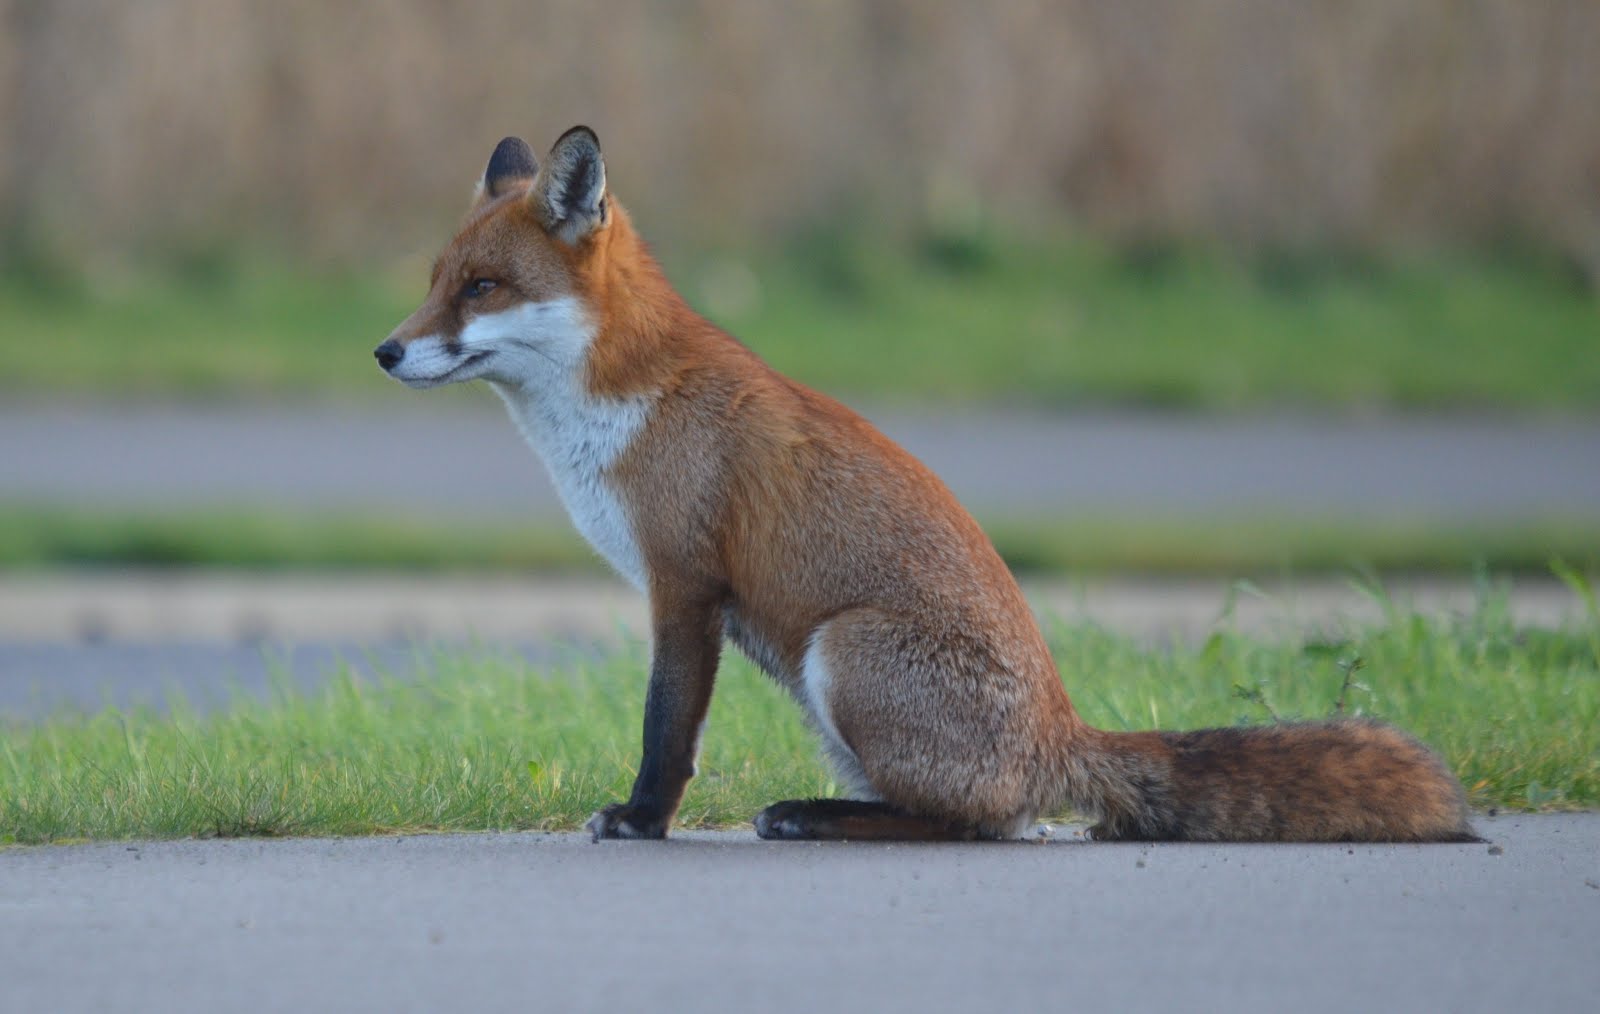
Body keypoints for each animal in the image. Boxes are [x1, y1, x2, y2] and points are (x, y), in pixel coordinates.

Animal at [374, 127, 1477, 843]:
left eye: (482, 288)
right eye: (432, 284)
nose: (384, 351)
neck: (624, 405)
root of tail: (1060, 731)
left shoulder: (683, 586)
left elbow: (665, 730)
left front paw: (642, 821)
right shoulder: (693, 595)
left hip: (840, 651)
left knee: (981, 823)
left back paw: (809, 818)